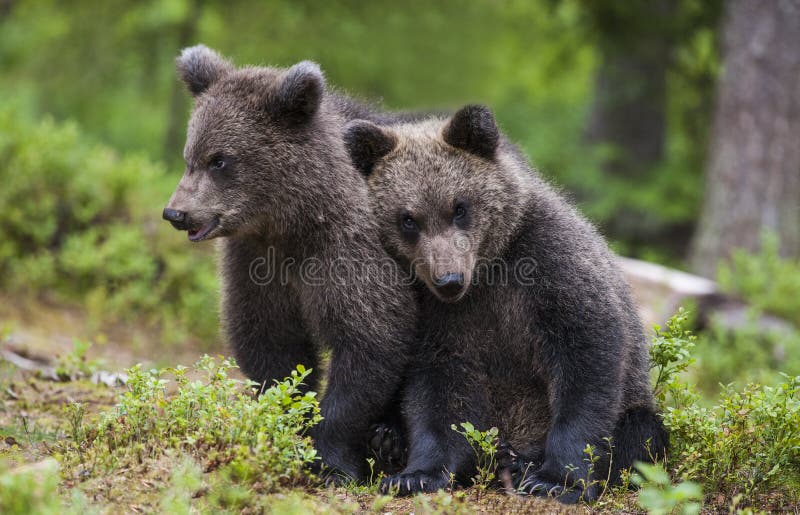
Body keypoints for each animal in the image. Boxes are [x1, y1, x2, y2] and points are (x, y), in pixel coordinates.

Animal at [162, 45, 418, 482]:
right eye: (189, 156)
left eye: (220, 160)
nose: (176, 213)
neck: (290, 223)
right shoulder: (255, 262)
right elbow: (271, 343)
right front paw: (286, 422)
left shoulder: (348, 254)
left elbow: (369, 340)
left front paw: (329, 456)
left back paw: (389, 438)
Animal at [344, 105, 668, 502]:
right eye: (407, 218)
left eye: (459, 207)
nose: (449, 280)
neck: (486, 274)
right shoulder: (436, 316)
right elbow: (440, 393)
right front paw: (415, 475)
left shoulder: (547, 267)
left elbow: (586, 359)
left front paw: (556, 479)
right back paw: (389, 438)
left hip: (635, 408)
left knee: (641, 434)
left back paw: (519, 462)